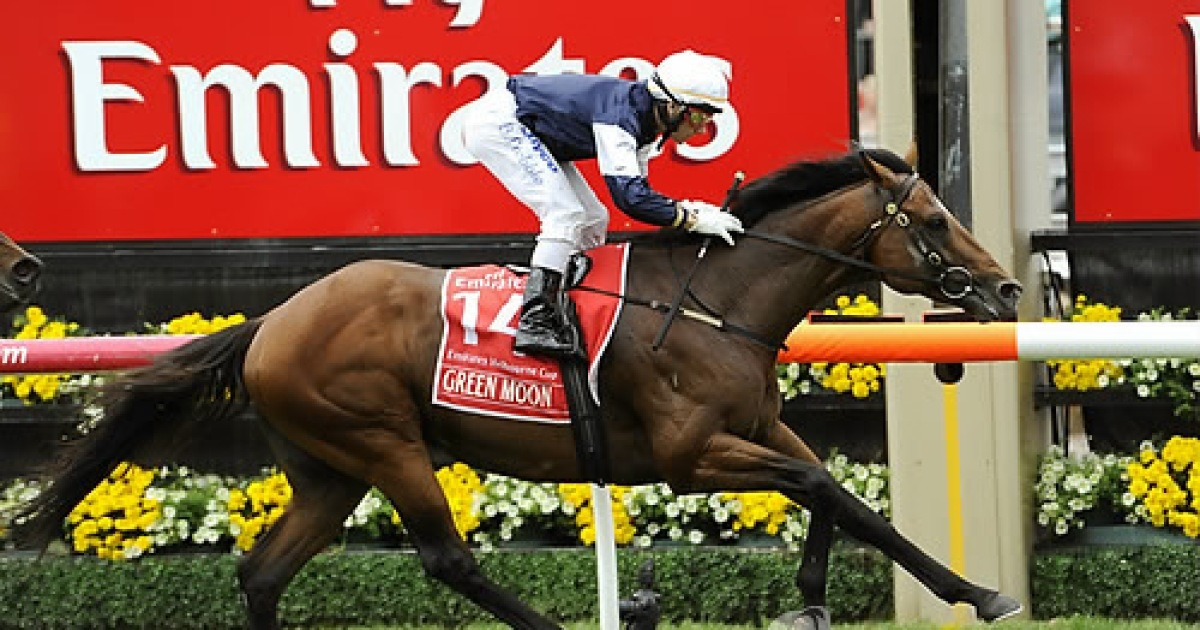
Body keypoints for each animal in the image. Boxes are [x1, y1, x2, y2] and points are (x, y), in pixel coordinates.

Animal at [18, 147, 1024, 630]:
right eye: (935, 219)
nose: (1008, 290)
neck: (718, 301)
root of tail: (273, 320)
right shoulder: (691, 456)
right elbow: (824, 488)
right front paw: (962, 595)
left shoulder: (758, 432)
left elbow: (842, 497)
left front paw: (936, 594)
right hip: (383, 440)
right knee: (447, 560)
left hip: (329, 469)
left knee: (261, 572)